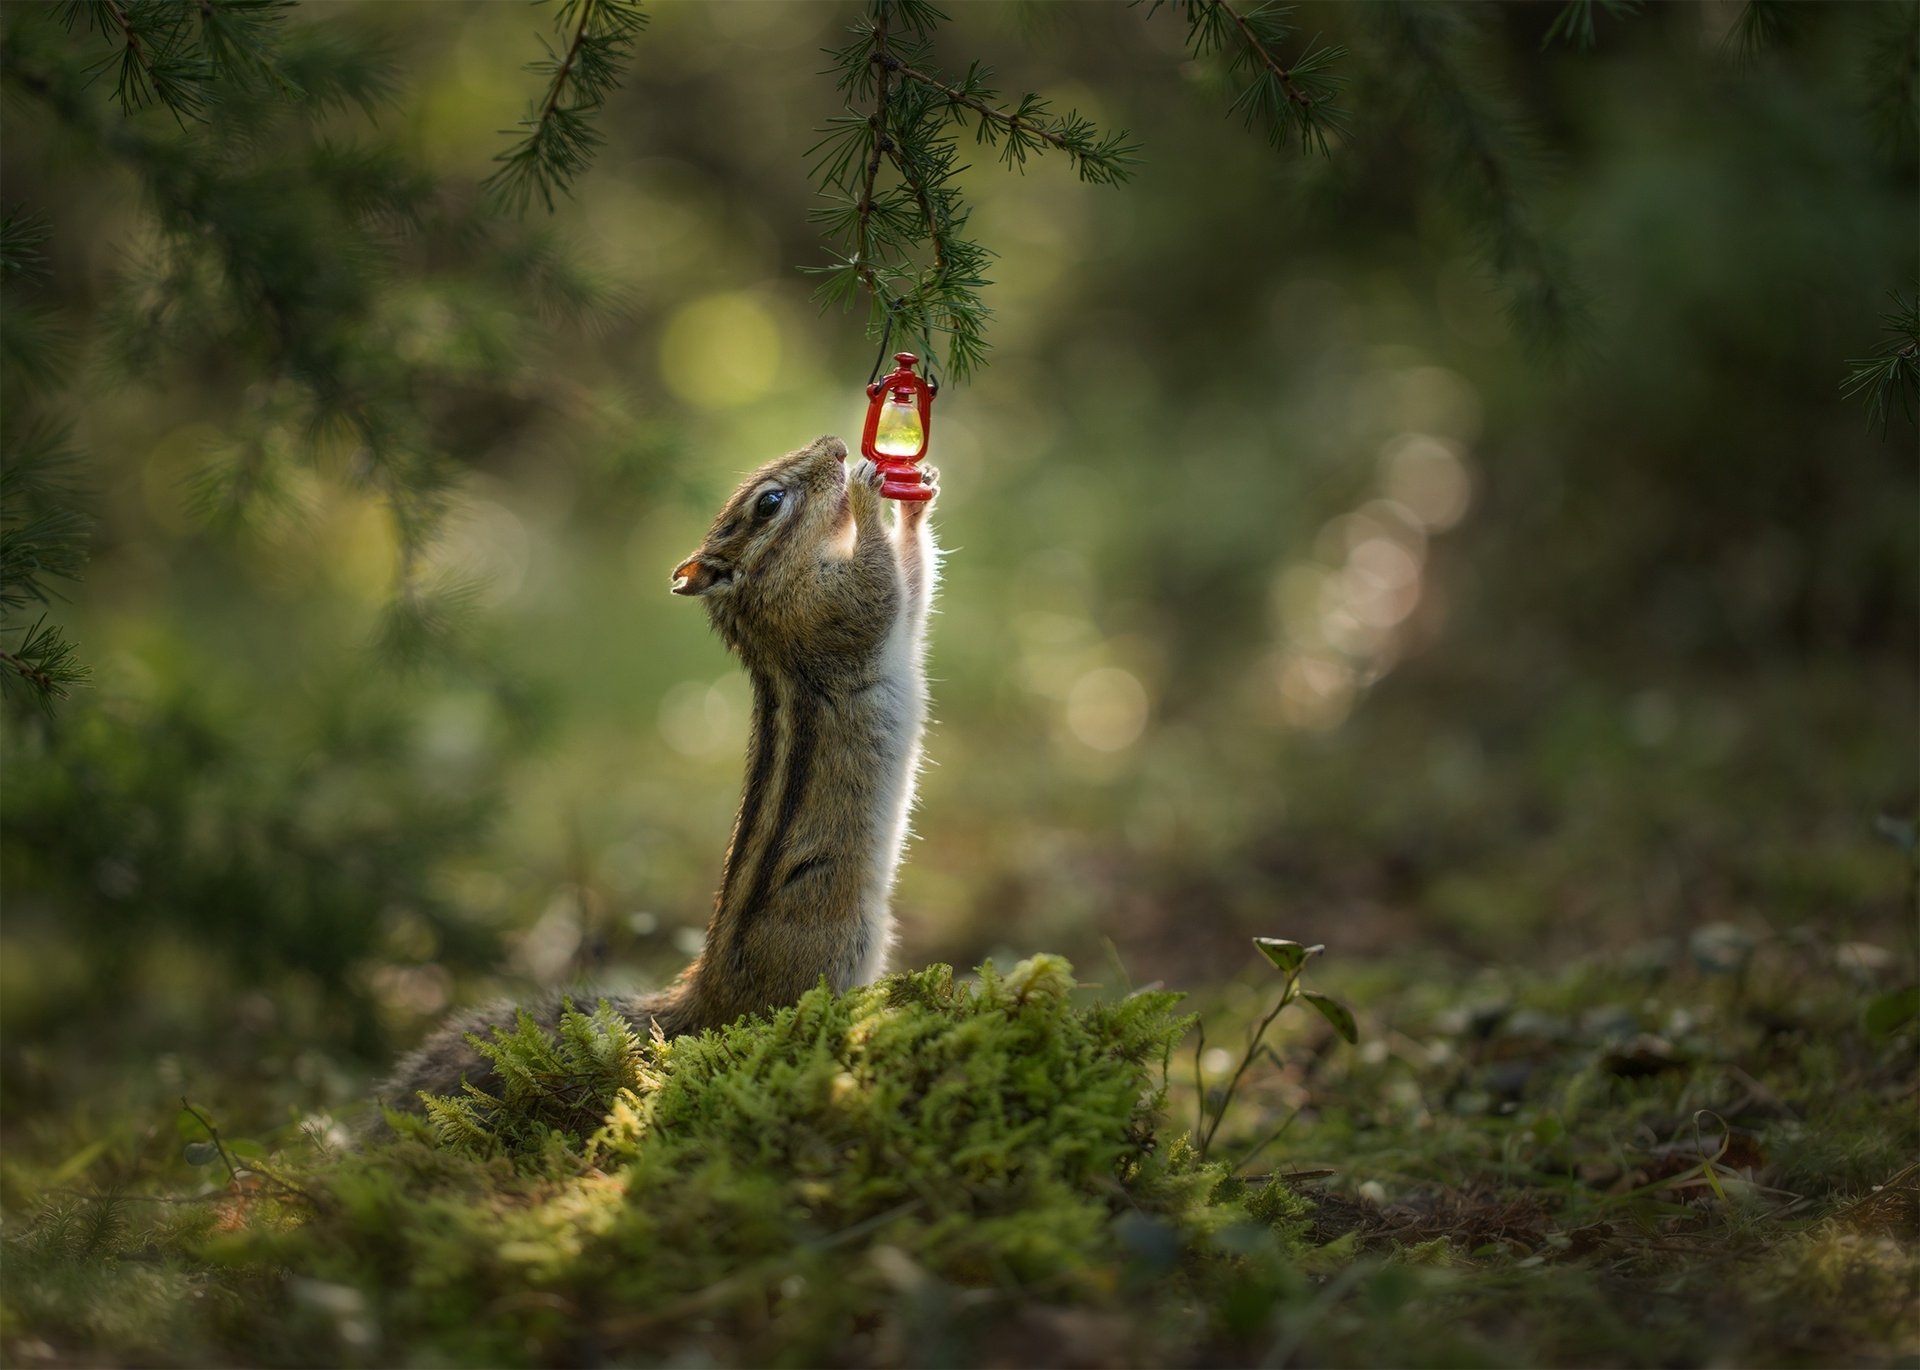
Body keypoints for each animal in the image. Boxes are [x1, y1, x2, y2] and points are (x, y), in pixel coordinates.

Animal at [382, 434, 939, 1106]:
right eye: (769, 502)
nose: (833, 444)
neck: (761, 600)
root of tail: (702, 997)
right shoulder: (829, 612)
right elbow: (883, 588)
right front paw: (865, 489)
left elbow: (914, 588)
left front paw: (916, 496)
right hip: (838, 950)